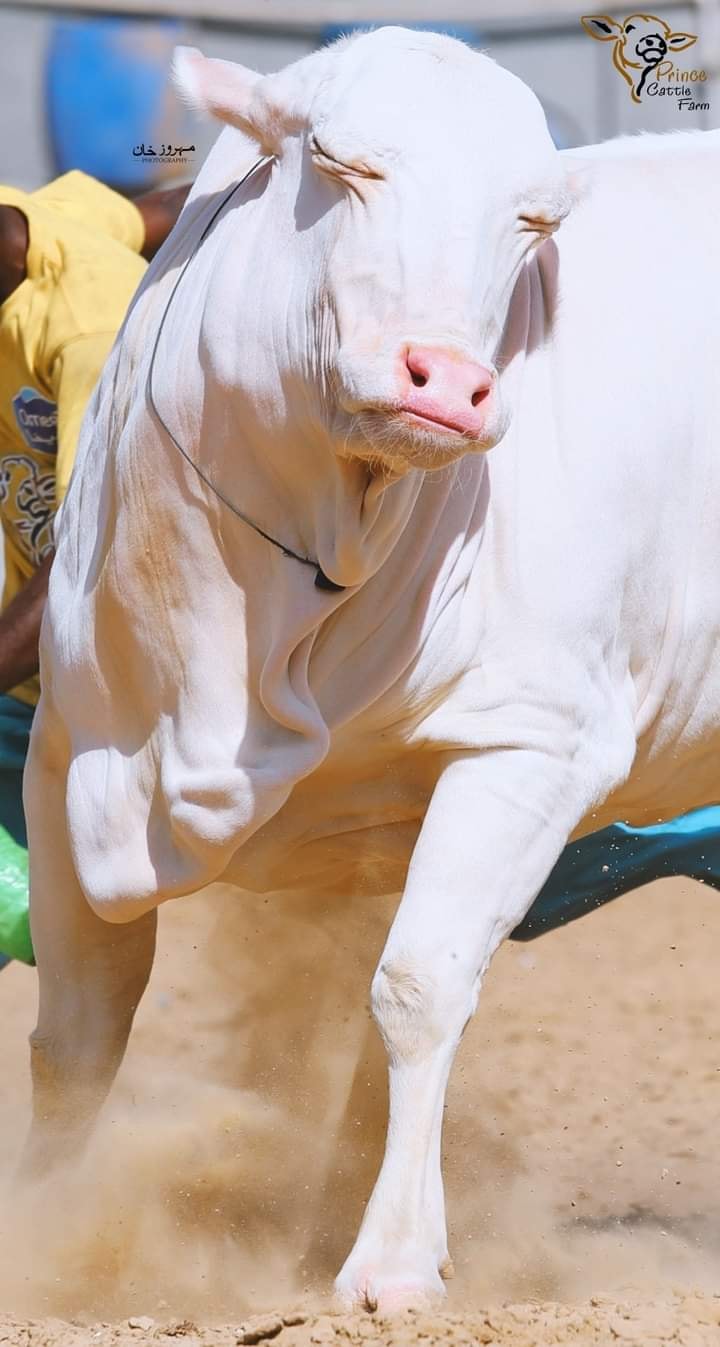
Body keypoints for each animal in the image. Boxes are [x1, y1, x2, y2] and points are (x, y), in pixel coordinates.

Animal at [22, 26, 720, 1314]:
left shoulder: (535, 744)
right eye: (345, 165)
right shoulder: (70, 757)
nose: (445, 381)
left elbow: (415, 989)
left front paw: (392, 1257)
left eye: (531, 221)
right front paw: (41, 1232)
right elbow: (77, 1035)